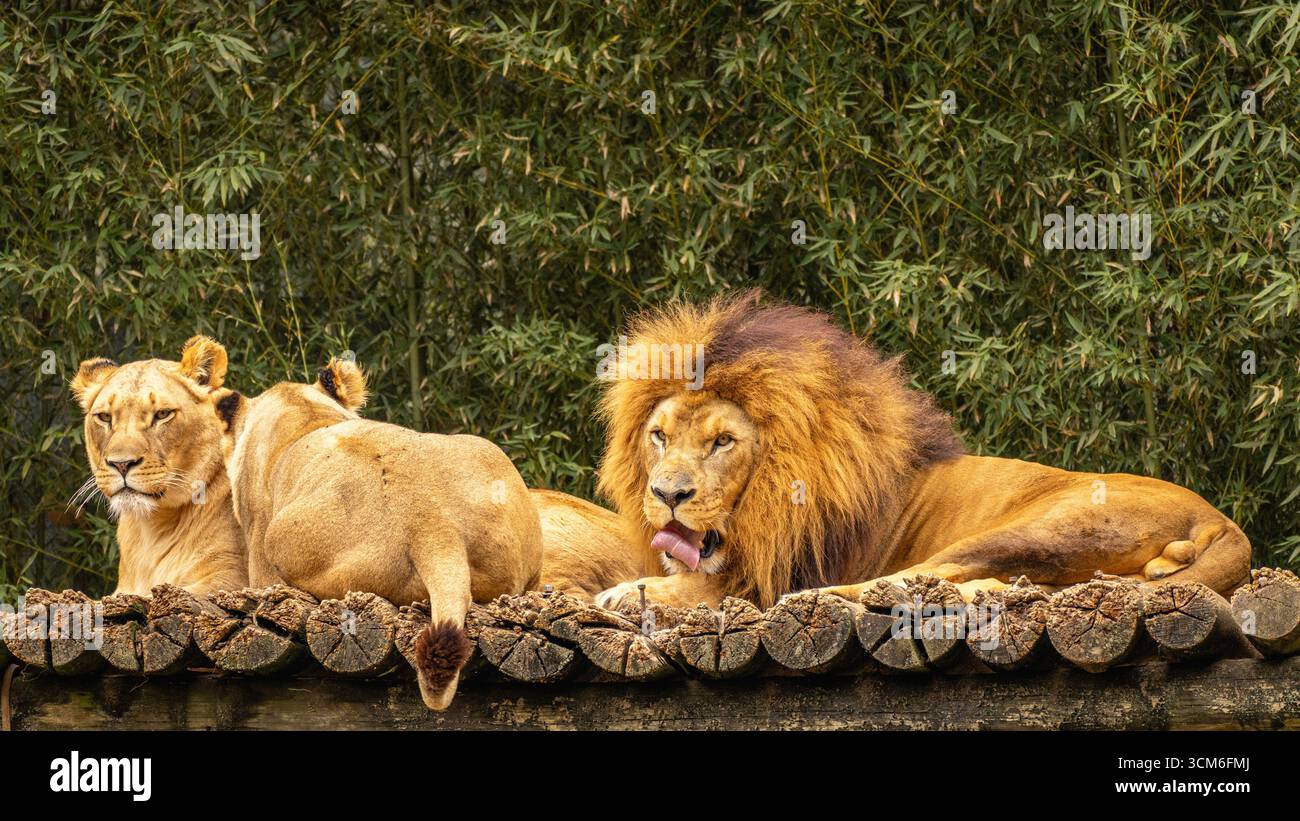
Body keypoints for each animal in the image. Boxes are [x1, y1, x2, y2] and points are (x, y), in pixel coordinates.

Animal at [558, 290, 1251, 611]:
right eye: (659, 436)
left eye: (723, 442)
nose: (668, 495)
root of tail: (1221, 520)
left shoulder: (777, 567)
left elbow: (711, 588)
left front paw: (635, 591)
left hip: (1046, 522)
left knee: (910, 580)